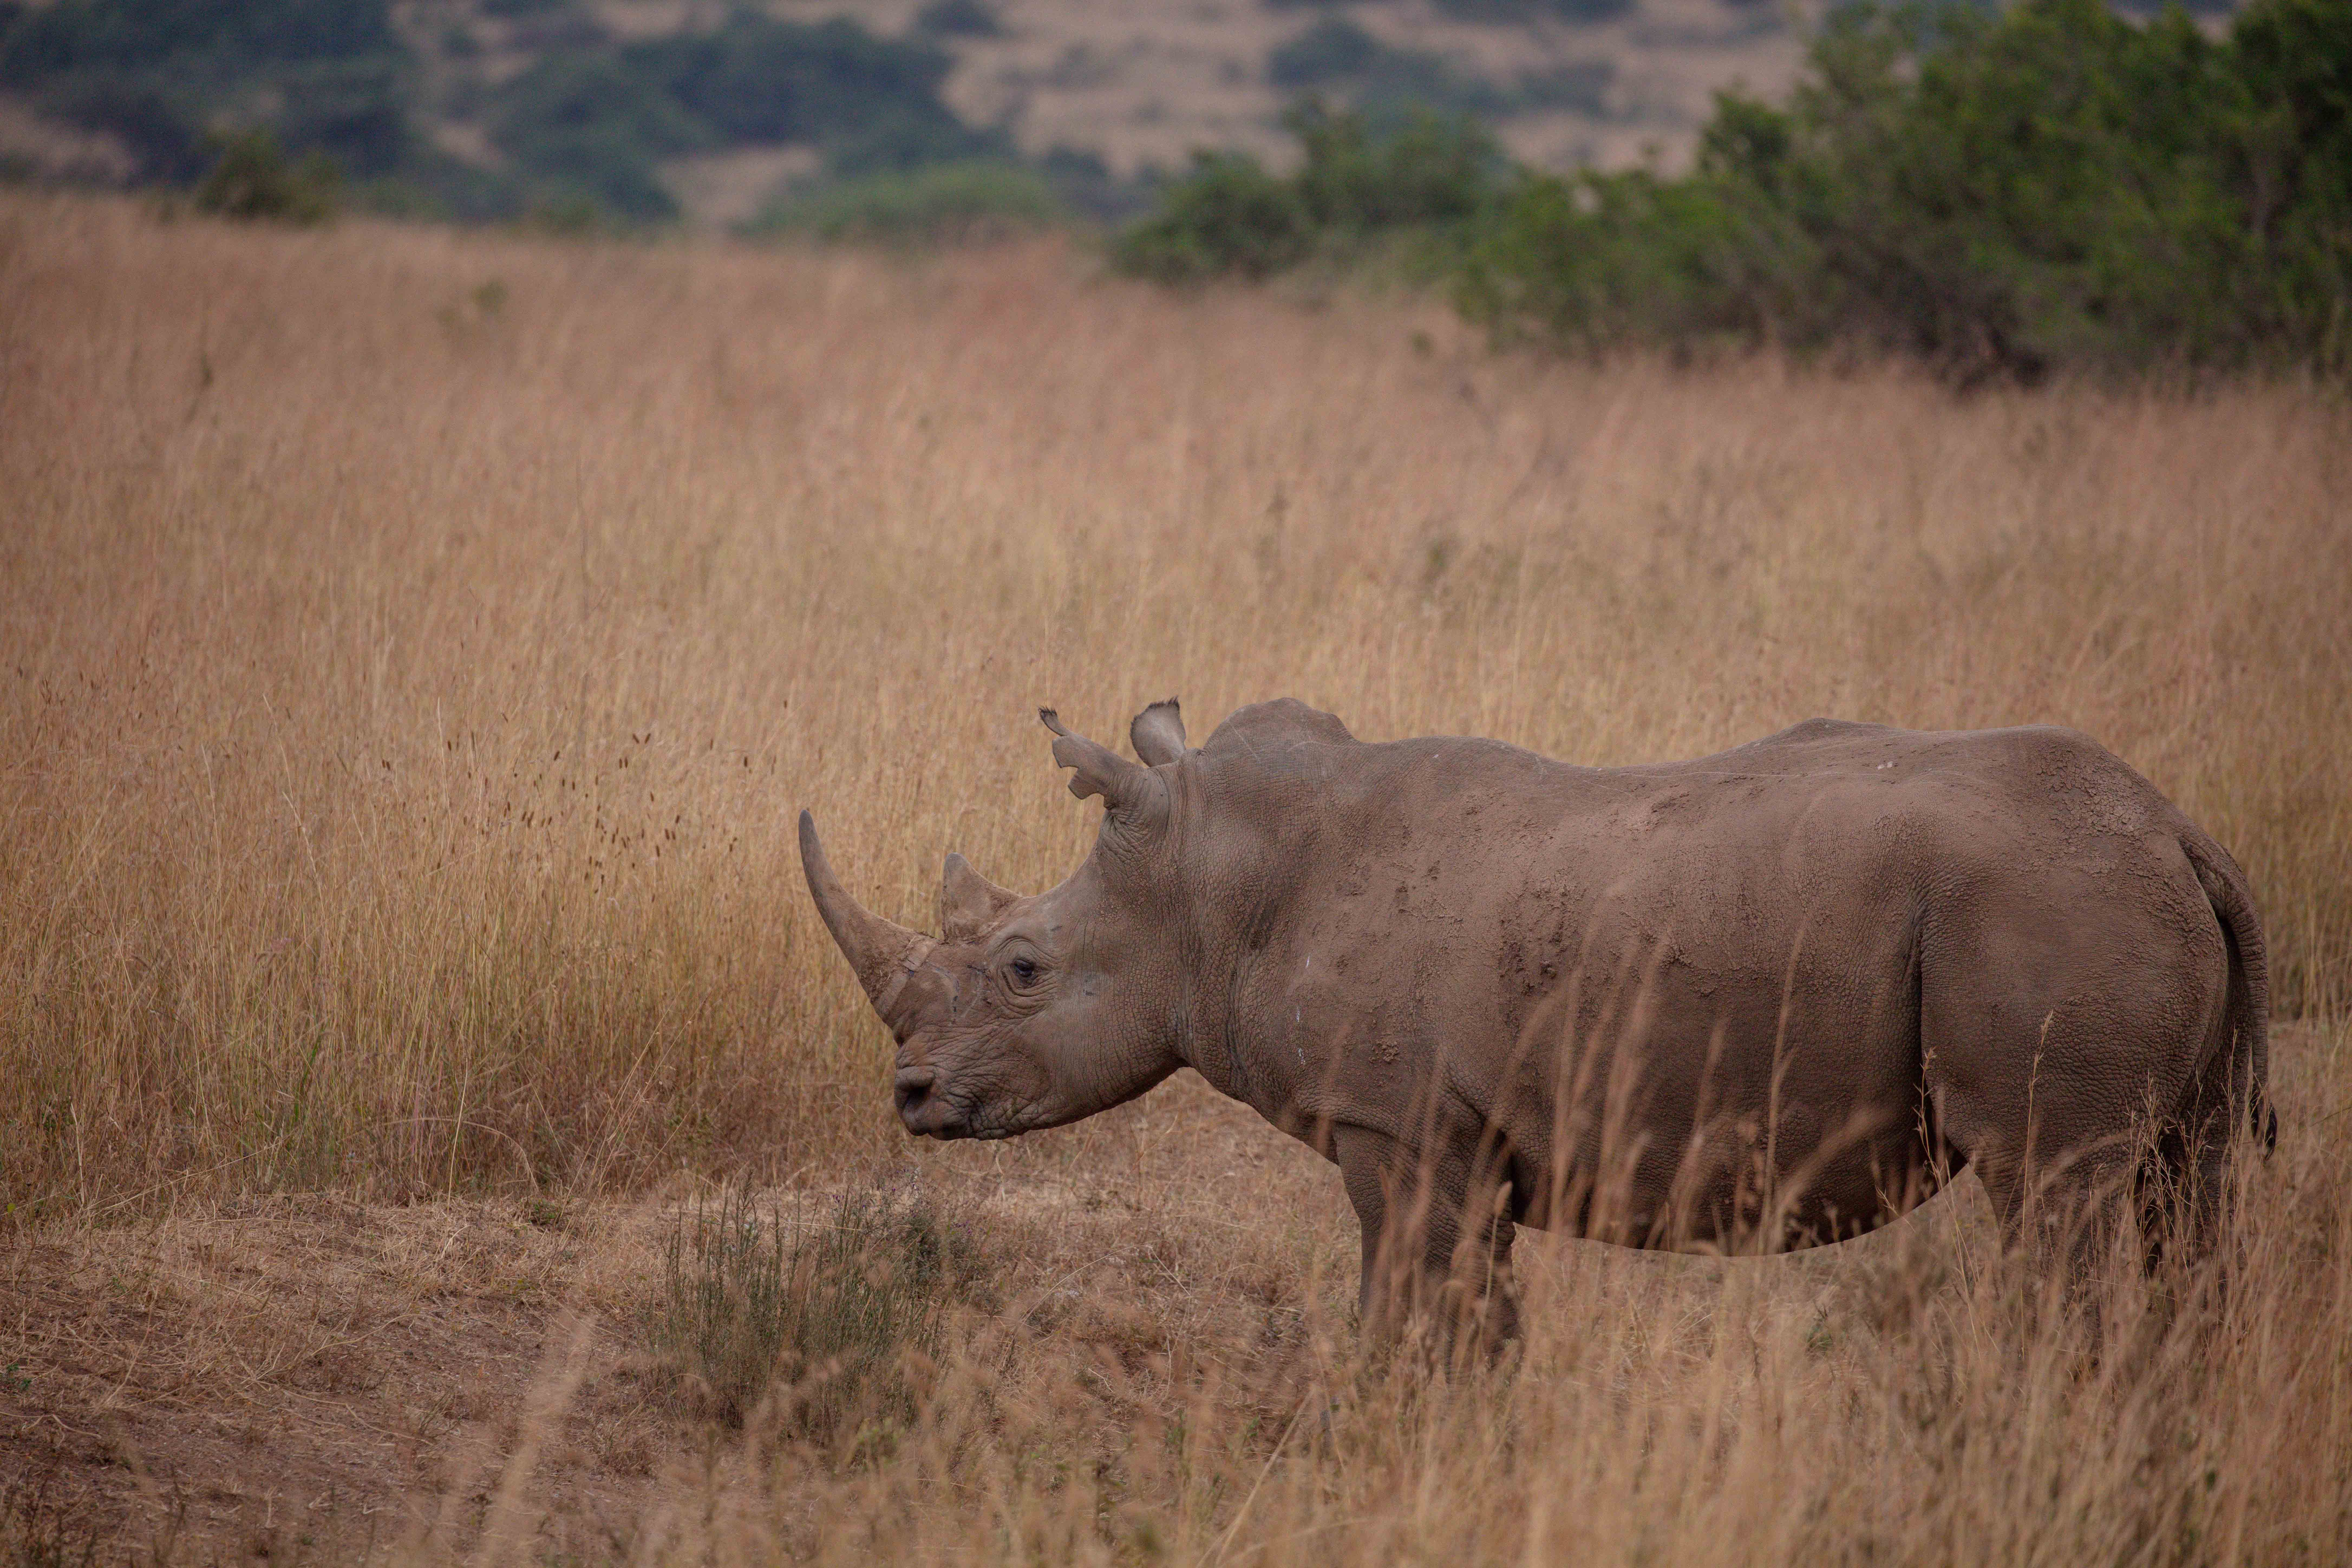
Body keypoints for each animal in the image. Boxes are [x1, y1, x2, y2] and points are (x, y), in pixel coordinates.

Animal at [799, 699, 2269, 1339]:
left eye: (1022, 969)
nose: (911, 1097)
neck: (1221, 879)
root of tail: (2177, 828)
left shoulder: (1398, 1128)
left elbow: (1411, 1313)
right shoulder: (1466, 1138)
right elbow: (1480, 1319)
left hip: (2046, 905)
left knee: (2056, 1193)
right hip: (2107, 900)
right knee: (2182, 1197)